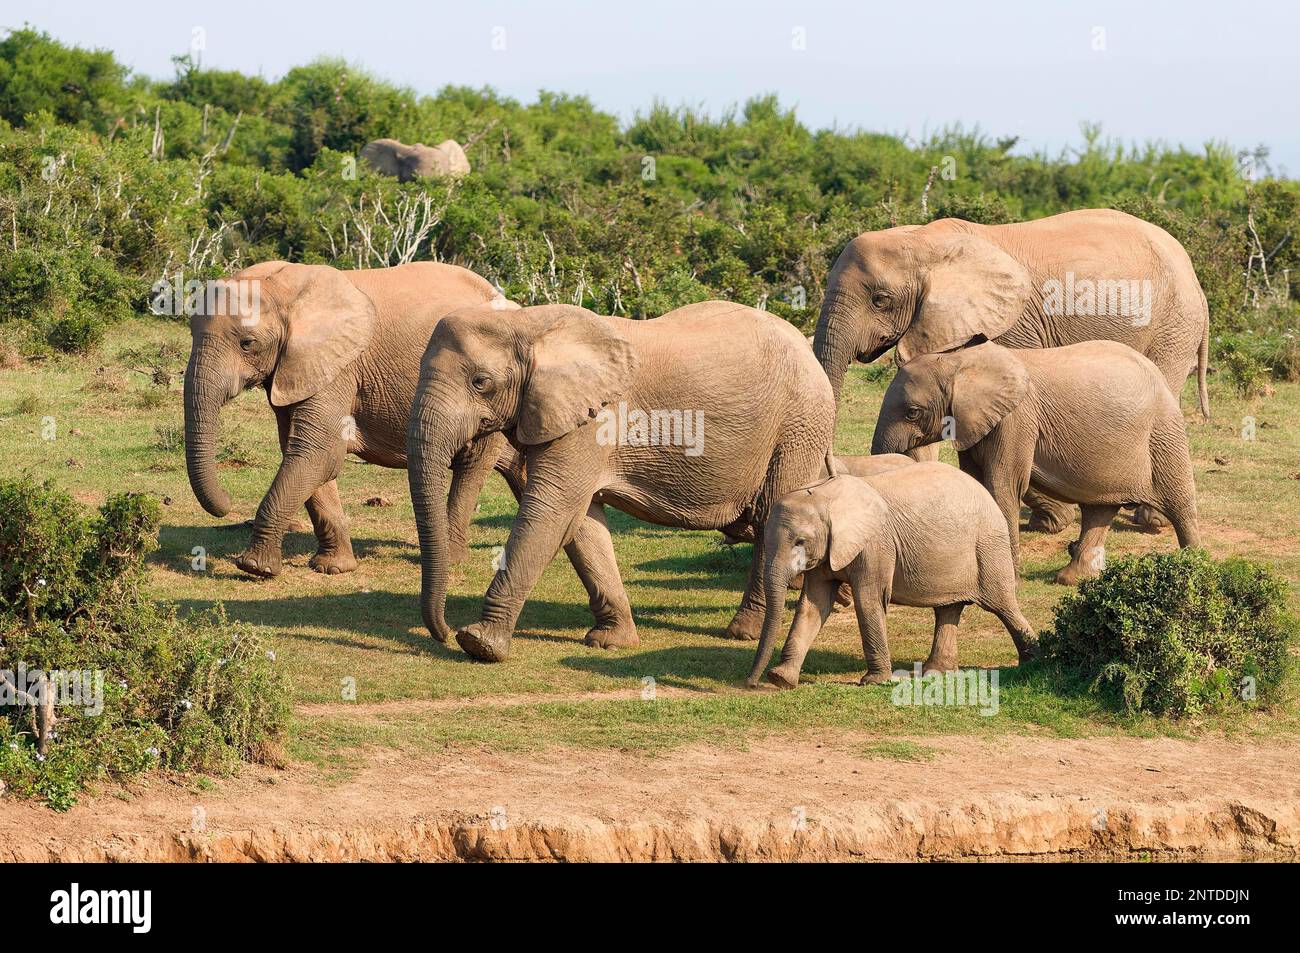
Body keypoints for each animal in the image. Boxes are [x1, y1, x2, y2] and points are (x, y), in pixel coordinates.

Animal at [184, 260, 520, 577]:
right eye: (190, 332)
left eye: (248, 344)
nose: (226, 501)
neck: (286, 285)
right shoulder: (297, 366)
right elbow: (307, 453)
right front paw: (333, 568)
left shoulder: (339, 366)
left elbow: (317, 452)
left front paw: (255, 568)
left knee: (471, 465)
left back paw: (451, 558)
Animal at [407, 300, 837, 662]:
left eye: (481, 382)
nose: (442, 632)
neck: (527, 323)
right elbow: (581, 523)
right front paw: (610, 642)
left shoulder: (593, 420)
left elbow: (550, 510)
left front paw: (479, 644)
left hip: (797, 425)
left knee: (771, 516)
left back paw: (743, 632)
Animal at [745, 465, 1036, 690]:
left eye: (800, 541)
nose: (751, 683)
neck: (825, 495)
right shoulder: (830, 550)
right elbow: (813, 604)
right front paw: (781, 679)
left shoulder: (876, 546)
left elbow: (868, 601)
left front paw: (874, 682)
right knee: (948, 609)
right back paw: (935, 672)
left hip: (988, 546)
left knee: (1002, 605)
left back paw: (1034, 661)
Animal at [813, 208, 1211, 532]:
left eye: (880, 300)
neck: (922, 241)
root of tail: (1193, 272)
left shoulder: (1009, 324)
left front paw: (1053, 520)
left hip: (1174, 324)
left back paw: (1150, 519)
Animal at [870, 340, 1201, 585]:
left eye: (912, 413)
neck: (959, 362)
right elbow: (978, 483)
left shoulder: (1016, 419)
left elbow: (1002, 485)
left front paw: (1012, 582)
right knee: (1098, 508)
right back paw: (1072, 578)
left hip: (1162, 431)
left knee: (1179, 500)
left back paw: (1196, 565)